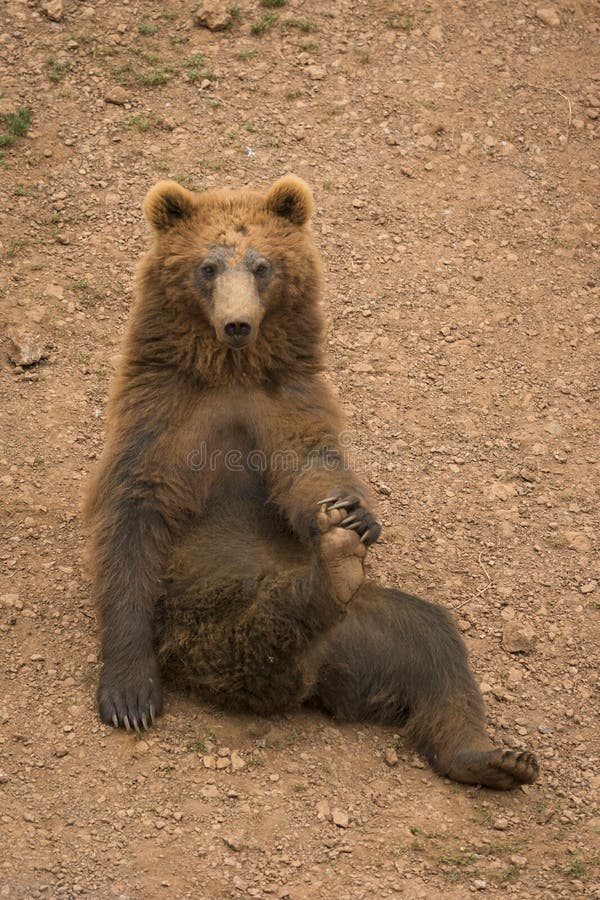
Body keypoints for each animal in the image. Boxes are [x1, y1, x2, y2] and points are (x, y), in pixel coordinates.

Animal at [84, 174, 539, 790]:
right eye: (208, 266)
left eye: (261, 266)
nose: (238, 323)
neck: (231, 370)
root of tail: (324, 673)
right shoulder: (162, 412)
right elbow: (133, 515)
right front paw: (129, 695)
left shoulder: (289, 399)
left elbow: (310, 469)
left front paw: (354, 512)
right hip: (199, 611)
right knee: (253, 632)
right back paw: (328, 577)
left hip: (371, 631)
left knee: (433, 647)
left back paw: (492, 757)